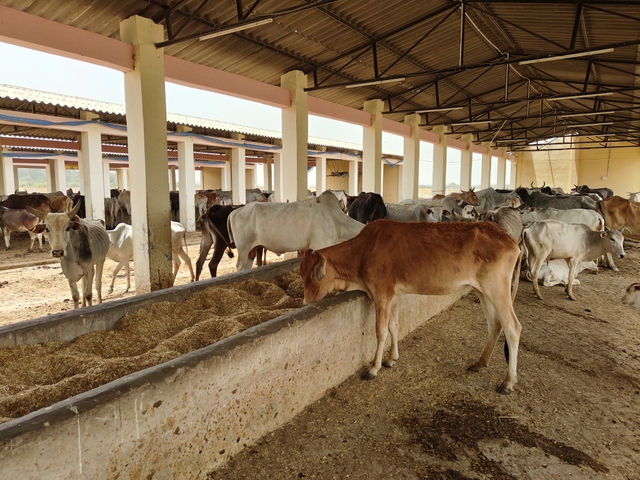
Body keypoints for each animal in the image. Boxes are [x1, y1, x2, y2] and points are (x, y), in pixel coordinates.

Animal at [300, 220, 523, 394]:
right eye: (301, 273)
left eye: (312, 274)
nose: (305, 302)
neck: (363, 251)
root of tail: (510, 238)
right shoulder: (393, 295)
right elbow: (394, 326)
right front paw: (392, 359)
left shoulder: (382, 293)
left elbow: (380, 331)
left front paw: (374, 368)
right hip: (483, 291)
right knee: (495, 324)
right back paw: (480, 363)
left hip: (497, 289)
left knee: (513, 327)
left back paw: (508, 382)